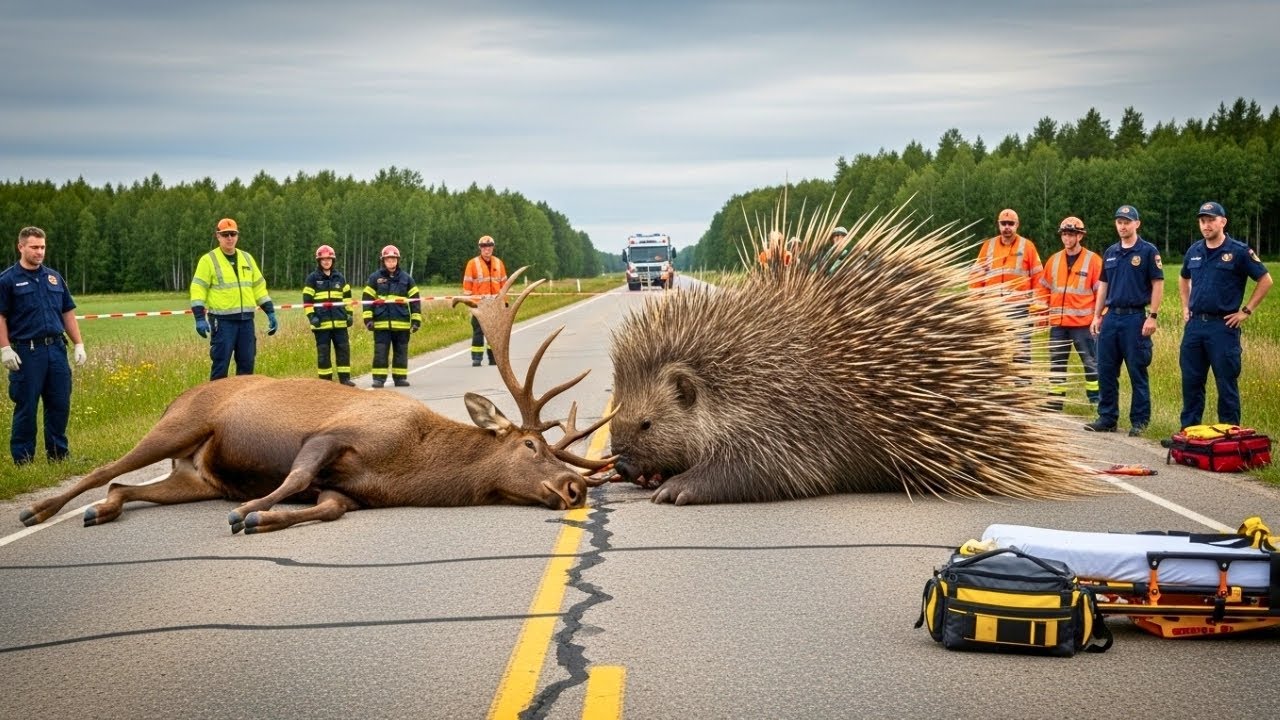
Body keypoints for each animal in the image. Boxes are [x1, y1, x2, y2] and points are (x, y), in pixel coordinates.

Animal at [17, 268, 615, 534]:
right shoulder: (332, 433)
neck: (409, 469)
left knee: (123, 486)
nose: (577, 486)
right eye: (532, 446)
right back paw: (39, 508)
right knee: (105, 470)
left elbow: (324, 506)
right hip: (181, 422)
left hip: (195, 476)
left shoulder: (349, 494)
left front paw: (261, 517)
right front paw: (248, 510)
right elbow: (297, 476)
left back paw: (102, 509)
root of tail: (181, 396)